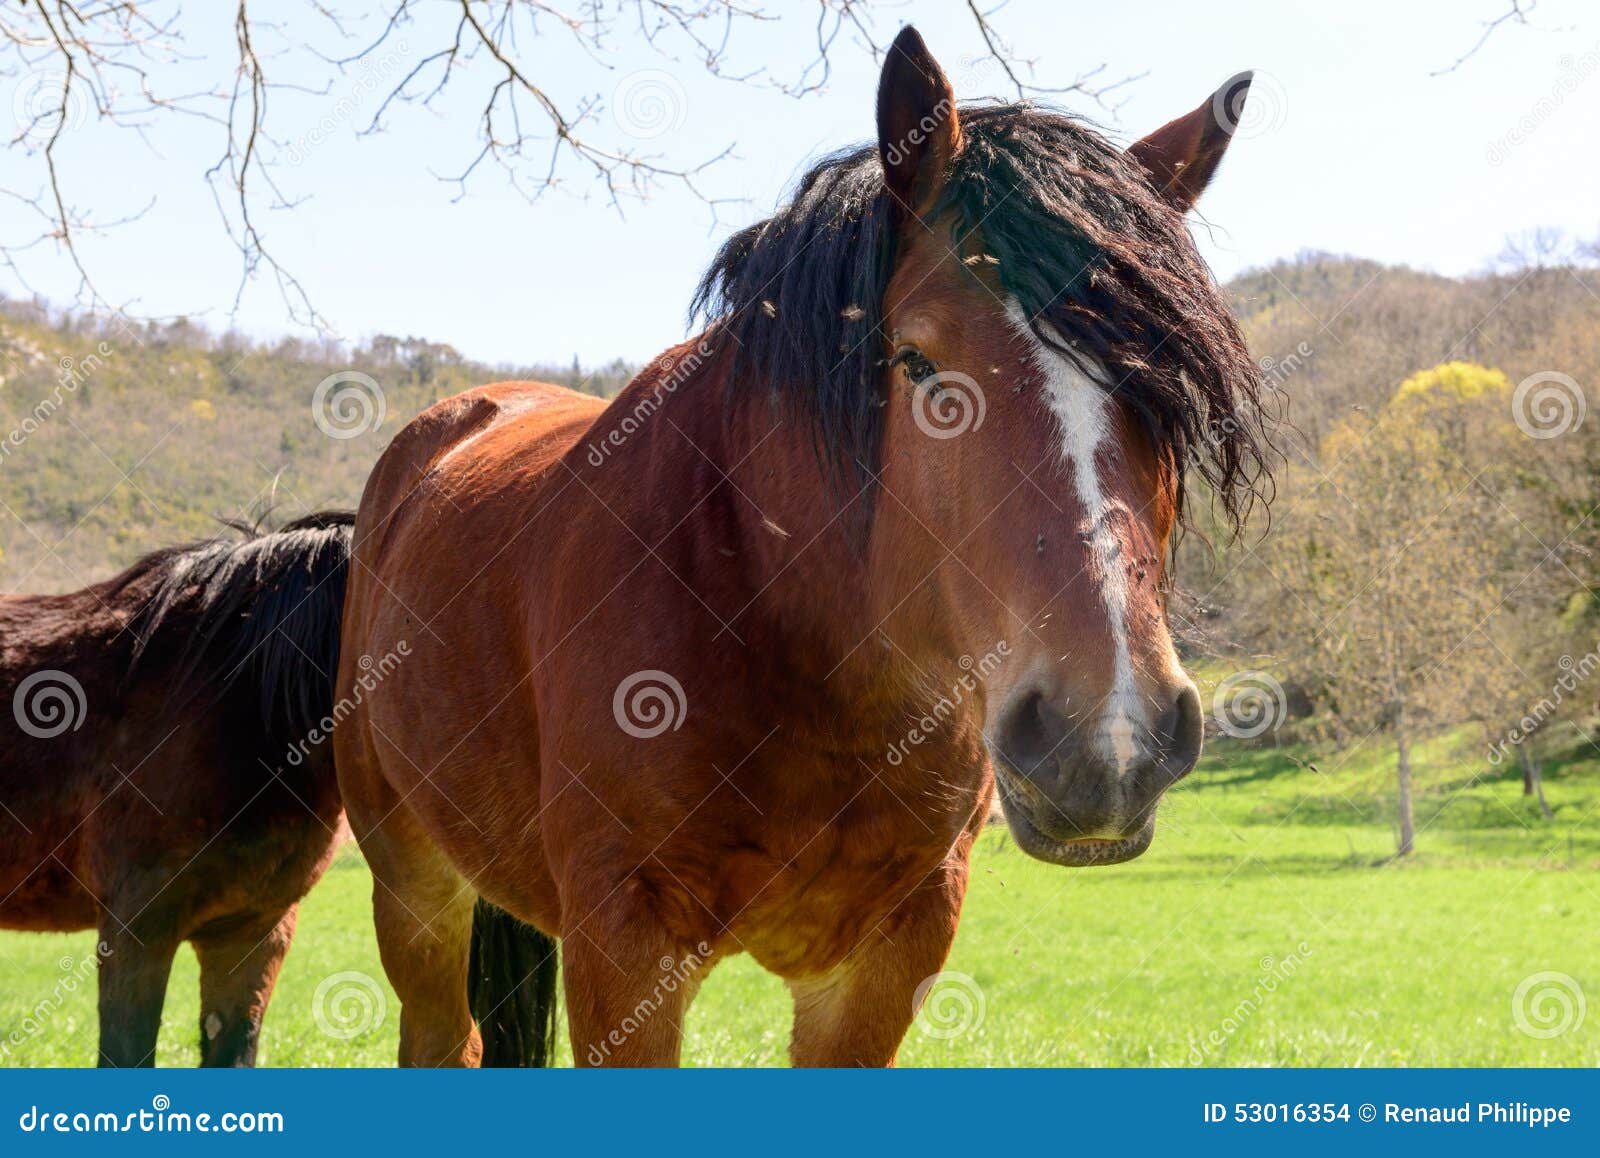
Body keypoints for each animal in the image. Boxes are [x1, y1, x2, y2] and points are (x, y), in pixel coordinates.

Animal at [332, 26, 1272, 1067]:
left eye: (1164, 386)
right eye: (918, 362)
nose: (1107, 734)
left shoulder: (884, 960)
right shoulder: (621, 949)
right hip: (413, 890)